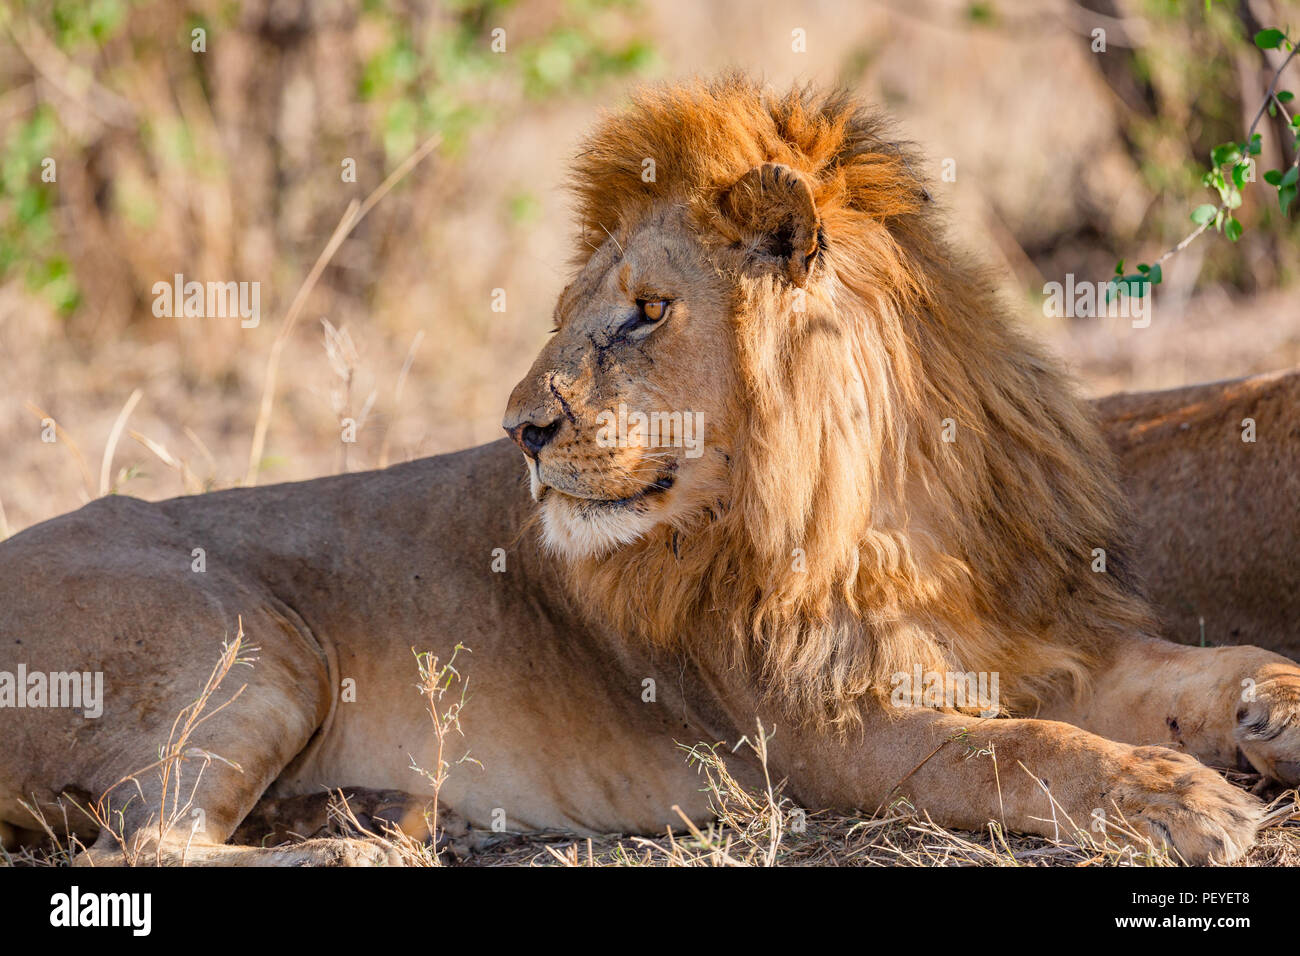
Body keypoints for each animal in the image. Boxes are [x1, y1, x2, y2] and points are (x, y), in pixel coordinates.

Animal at [2, 76, 1299, 866]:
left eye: (643, 314)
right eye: (574, 314)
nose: (518, 429)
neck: (882, 512)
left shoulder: (1042, 634)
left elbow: (1205, 663)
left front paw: (1269, 710)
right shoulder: (826, 735)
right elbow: (1026, 747)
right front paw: (1181, 799)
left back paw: (381, 808)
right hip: (251, 640)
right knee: (147, 841)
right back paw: (359, 843)